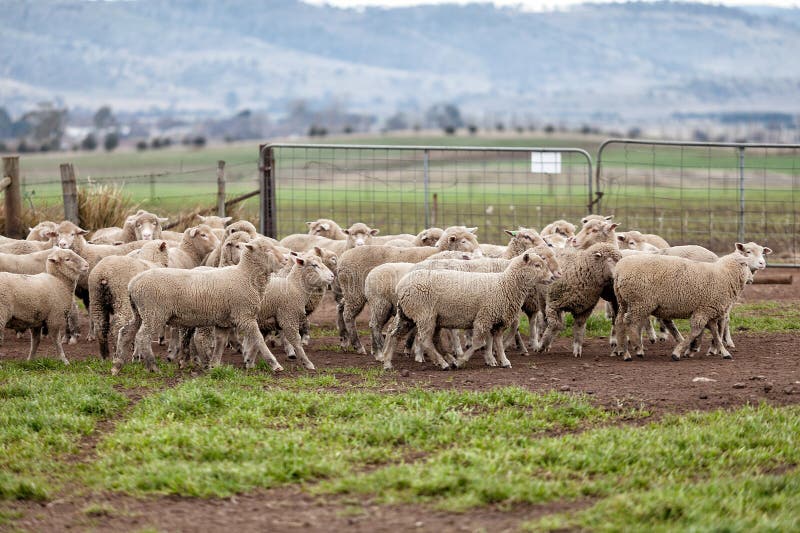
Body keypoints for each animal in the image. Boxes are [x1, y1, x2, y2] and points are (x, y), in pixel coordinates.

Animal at [114, 237, 286, 374]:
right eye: (267, 250)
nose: (285, 260)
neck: (245, 276)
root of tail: (133, 283)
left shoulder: (224, 321)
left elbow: (220, 343)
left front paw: (214, 366)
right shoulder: (244, 316)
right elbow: (258, 339)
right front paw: (275, 365)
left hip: (140, 312)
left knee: (126, 332)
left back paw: (117, 365)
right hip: (154, 313)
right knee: (142, 337)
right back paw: (152, 367)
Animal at [335, 226, 482, 354]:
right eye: (463, 241)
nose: (480, 255)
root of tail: (342, 257)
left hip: (352, 293)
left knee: (341, 307)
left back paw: (346, 341)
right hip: (355, 292)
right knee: (349, 316)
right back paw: (359, 346)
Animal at [382, 251, 556, 370]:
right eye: (537, 265)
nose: (553, 277)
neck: (505, 285)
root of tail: (401, 285)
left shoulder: (497, 322)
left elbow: (498, 343)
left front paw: (504, 361)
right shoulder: (484, 318)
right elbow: (479, 342)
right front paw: (462, 361)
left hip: (408, 315)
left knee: (394, 334)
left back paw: (388, 362)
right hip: (424, 314)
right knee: (425, 340)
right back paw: (444, 363)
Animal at [613, 245, 755, 361]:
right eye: (746, 265)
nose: (752, 279)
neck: (725, 275)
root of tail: (619, 271)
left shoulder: (709, 310)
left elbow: (715, 333)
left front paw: (724, 352)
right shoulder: (704, 309)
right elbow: (696, 331)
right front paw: (678, 352)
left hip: (624, 301)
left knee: (619, 321)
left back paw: (624, 351)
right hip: (641, 302)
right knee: (629, 322)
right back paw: (636, 349)